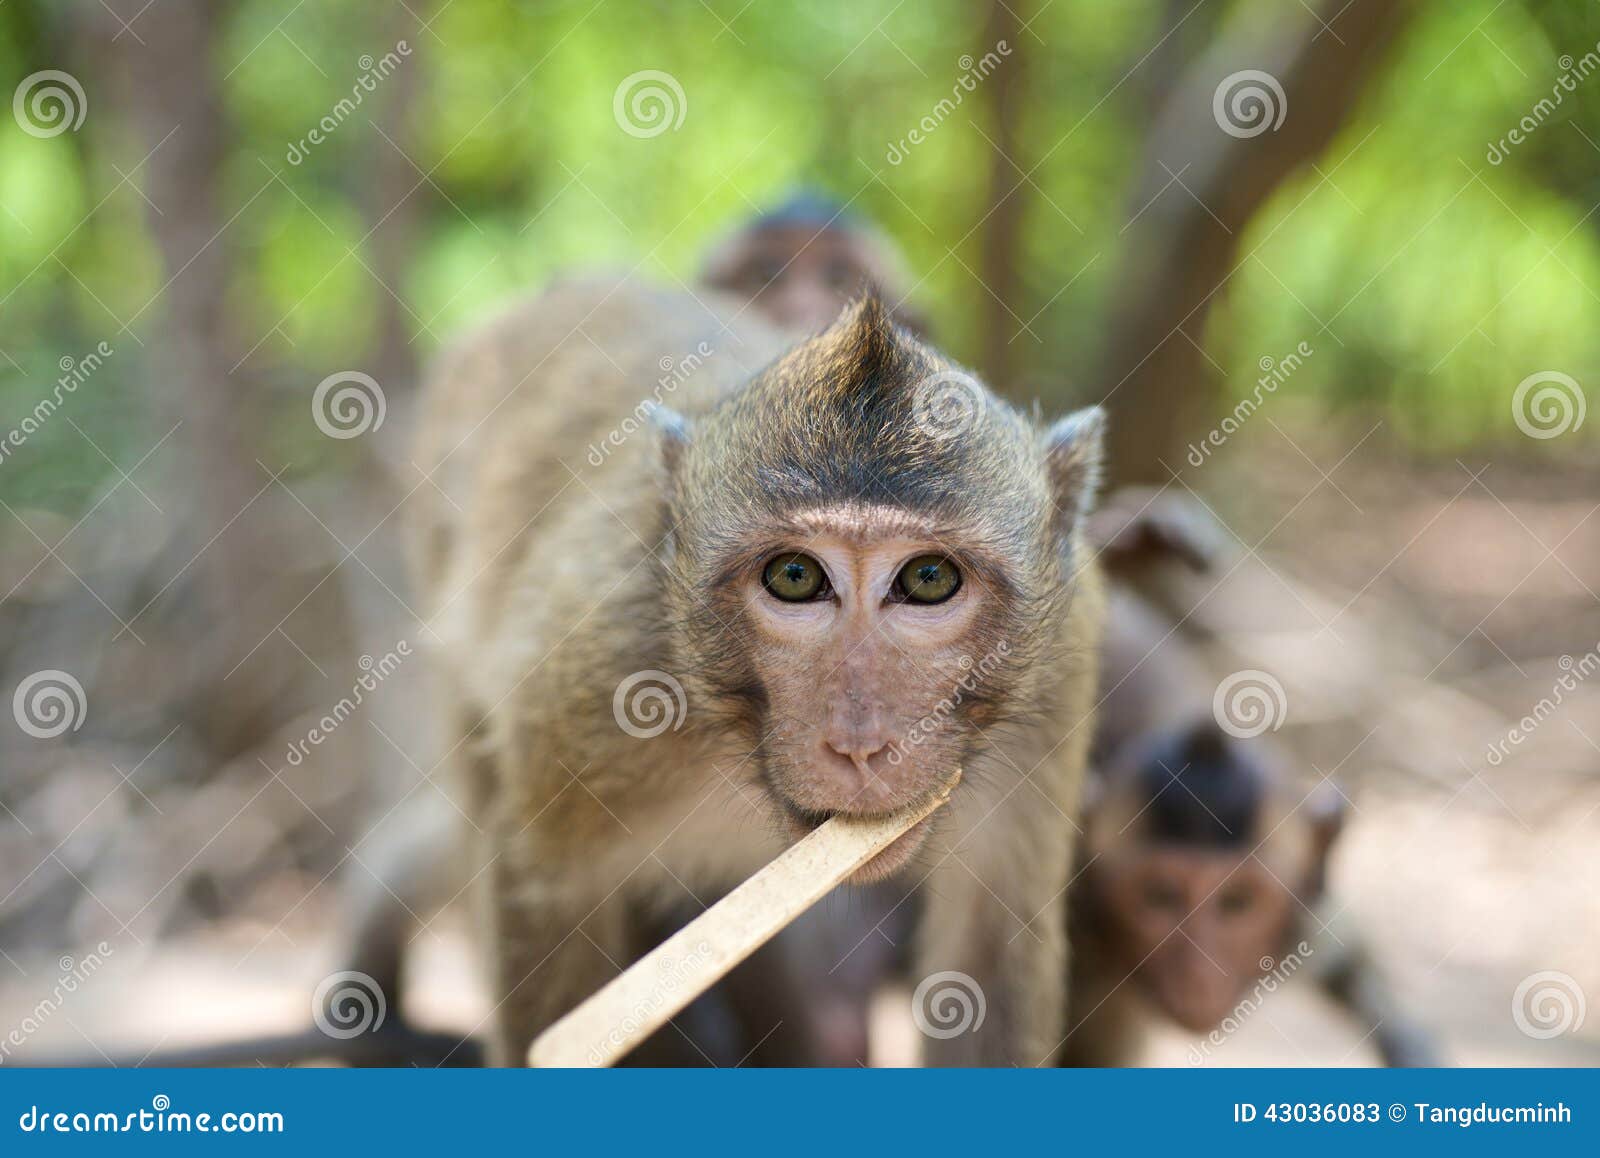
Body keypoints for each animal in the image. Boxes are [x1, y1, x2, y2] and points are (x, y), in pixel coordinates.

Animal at [409, 273, 1106, 1067]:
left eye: (929, 578)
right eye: (795, 577)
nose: (859, 745)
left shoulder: (1060, 675)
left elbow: (989, 960)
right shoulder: (586, 684)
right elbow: (544, 895)